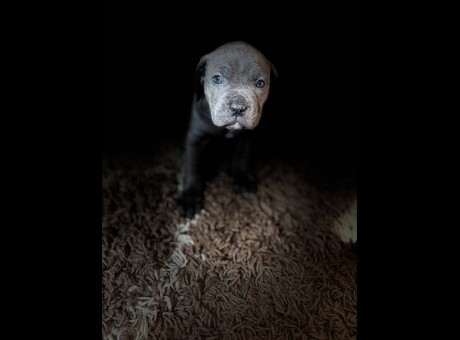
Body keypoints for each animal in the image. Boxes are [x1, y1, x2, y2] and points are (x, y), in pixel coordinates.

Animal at [176, 41, 276, 218]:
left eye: (260, 83)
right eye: (217, 78)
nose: (238, 107)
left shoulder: (247, 137)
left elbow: (242, 157)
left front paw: (242, 178)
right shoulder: (195, 138)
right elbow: (193, 166)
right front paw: (189, 197)